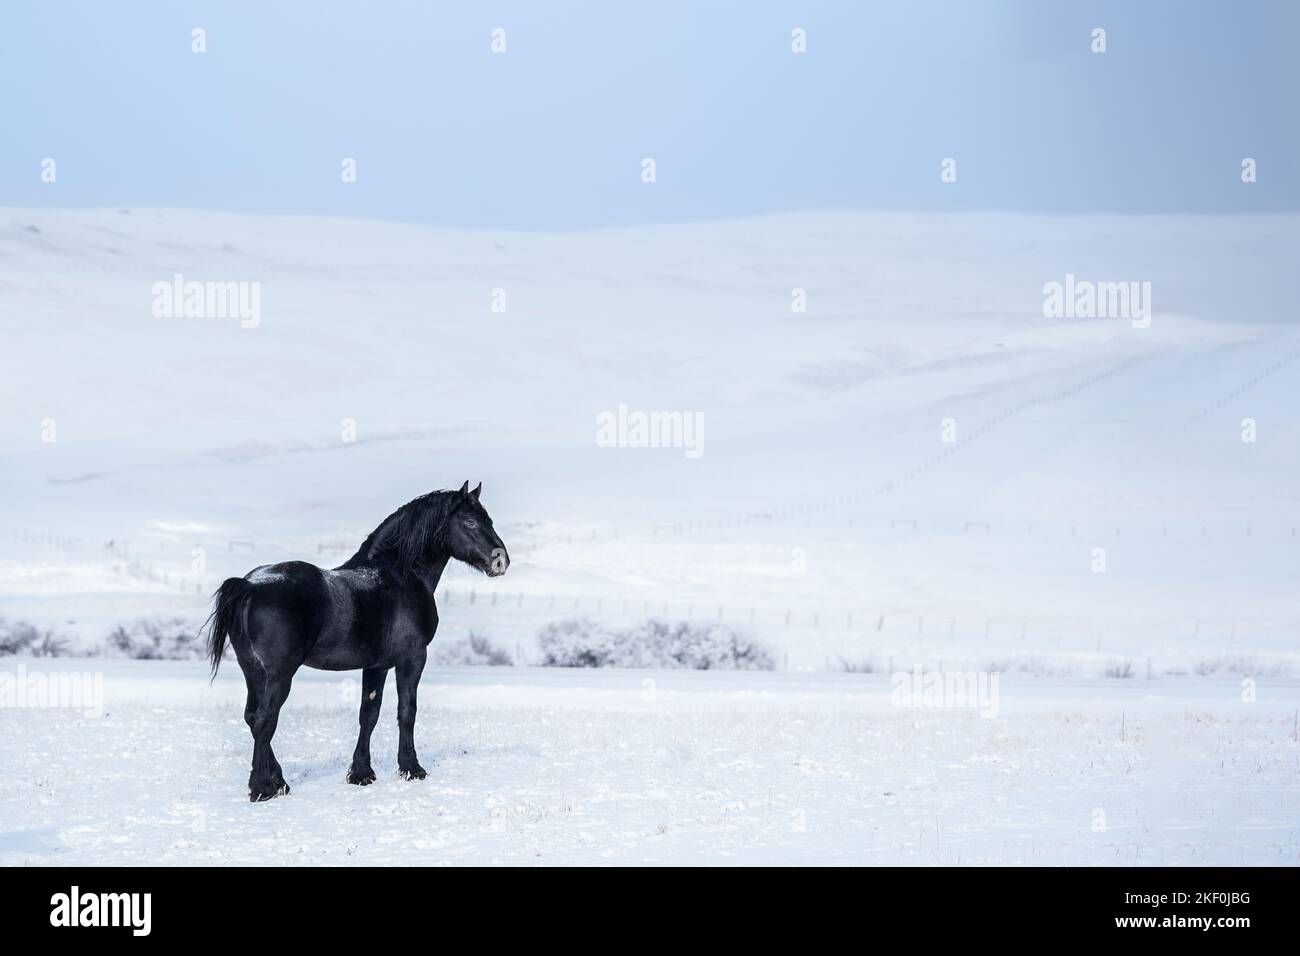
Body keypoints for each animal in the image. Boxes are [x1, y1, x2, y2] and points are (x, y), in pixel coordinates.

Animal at [205, 481, 509, 801]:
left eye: (488, 519)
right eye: (470, 521)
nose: (501, 560)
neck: (399, 576)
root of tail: (249, 585)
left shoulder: (376, 666)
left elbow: (369, 714)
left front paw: (361, 774)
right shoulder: (412, 658)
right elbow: (407, 711)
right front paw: (412, 769)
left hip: (252, 670)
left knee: (253, 718)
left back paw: (279, 782)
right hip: (279, 674)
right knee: (265, 720)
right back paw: (263, 788)